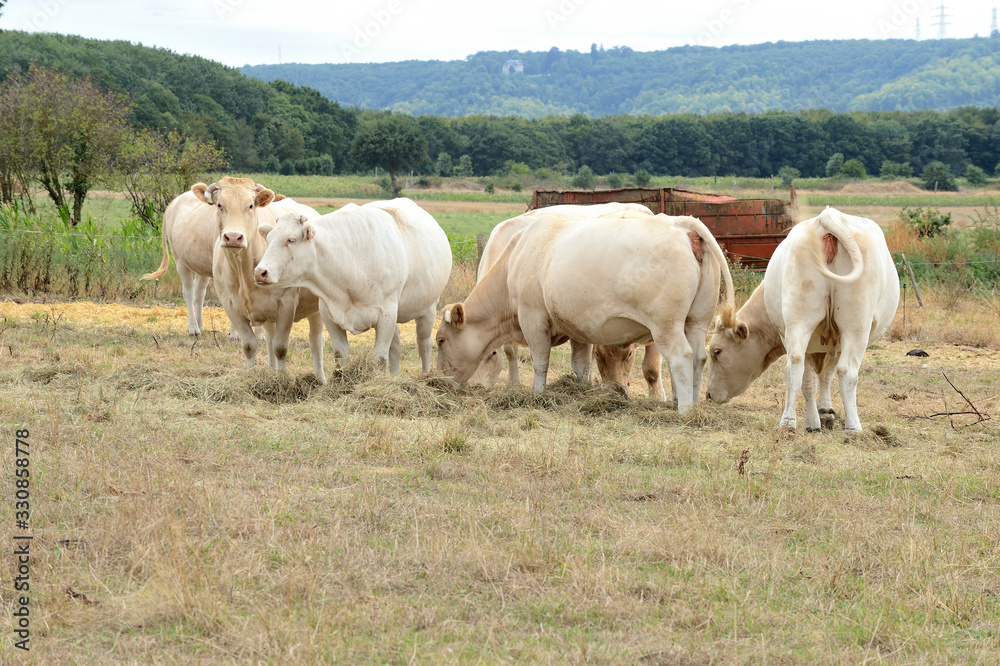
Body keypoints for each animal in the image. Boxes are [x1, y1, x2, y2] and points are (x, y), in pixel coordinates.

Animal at [142, 188, 316, 338]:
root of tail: (175, 202)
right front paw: (237, 332)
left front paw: (259, 333)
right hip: (179, 259)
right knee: (188, 292)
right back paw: (193, 328)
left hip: (202, 266)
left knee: (199, 292)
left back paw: (201, 325)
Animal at [179, 177, 326, 381]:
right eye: (219, 205)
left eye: (250, 205)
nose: (233, 237)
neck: (244, 269)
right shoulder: (230, 305)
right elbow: (250, 345)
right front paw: (253, 376)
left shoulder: (286, 304)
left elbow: (280, 348)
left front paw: (282, 379)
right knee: (270, 338)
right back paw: (271, 369)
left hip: (316, 309)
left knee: (316, 341)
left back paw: (320, 378)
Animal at [253, 199, 453, 374]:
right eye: (268, 239)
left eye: (291, 240)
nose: (260, 272)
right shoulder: (329, 314)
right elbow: (341, 355)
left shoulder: (386, 314)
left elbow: (380, 359)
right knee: (396, 347)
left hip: (429, 307)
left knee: (424, 344)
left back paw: (425, 374)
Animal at [435, 212, 735, 413]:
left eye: (440, 340)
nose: (437, 382)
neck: (515, 260)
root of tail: (680, 223)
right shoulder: (576, 327)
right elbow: (580, 365)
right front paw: (580, 390)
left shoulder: (533, 318)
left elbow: (540, 362)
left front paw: (538, 394)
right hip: (696, 321)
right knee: (699, 358)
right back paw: (694, 405)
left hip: (666, 325)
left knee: (682, 358)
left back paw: (684, 409)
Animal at [705, 207, 900, 433]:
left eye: (716, 351)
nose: (708, 395)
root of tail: (827, 218)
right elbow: (823, 376)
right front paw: (822, 414)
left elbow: (815, 378)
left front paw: (821, 415)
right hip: (854, 326)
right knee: (845, 371)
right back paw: (851, 428)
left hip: (801, 322)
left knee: (796, 367)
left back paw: (789, 423)